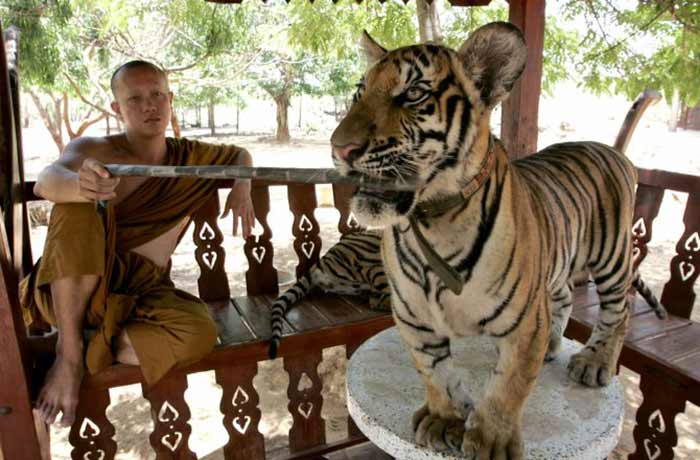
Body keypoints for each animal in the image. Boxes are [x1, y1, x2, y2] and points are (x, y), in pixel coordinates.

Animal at [329, 22, 666, 459]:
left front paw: (490, 440)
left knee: (618, 311)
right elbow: (434, 371)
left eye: (413, 94)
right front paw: (444, 419)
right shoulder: (412, 316)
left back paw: (594, 363)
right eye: (359, 92)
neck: (433, 219)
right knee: (564, 296)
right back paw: (554, 345)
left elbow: (508, 386)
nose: (340, 148)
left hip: (611, 258)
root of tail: (607, 148)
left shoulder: (524, 322)